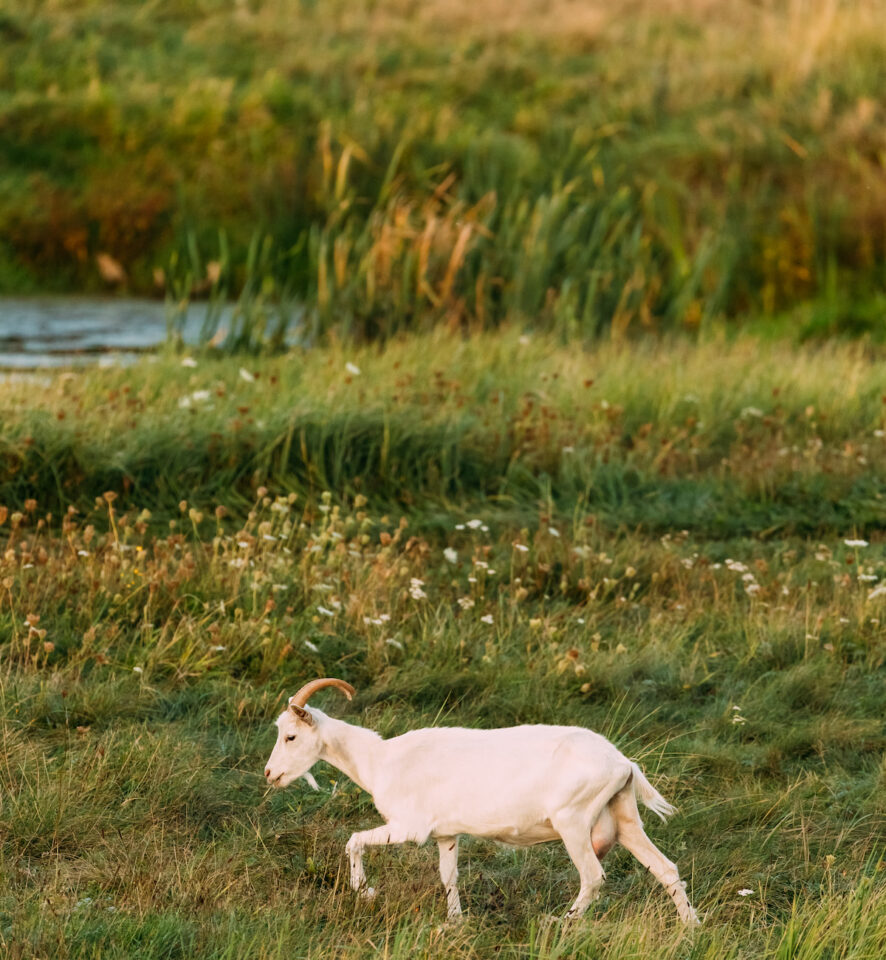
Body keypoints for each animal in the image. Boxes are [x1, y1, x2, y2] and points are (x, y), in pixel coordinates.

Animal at [263, 677, 698, 924]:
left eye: (291, 736)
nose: (269, 774)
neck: (380, 759)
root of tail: (623, 763)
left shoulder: (409, 827)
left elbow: (353, 840)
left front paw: (364, 891)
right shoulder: (446, 834)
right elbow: (448, 876)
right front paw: (455, 922)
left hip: (573, 821)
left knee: (593, 876)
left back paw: (563, 922)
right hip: (624, 819)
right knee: (666, 868)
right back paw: (690, 927)